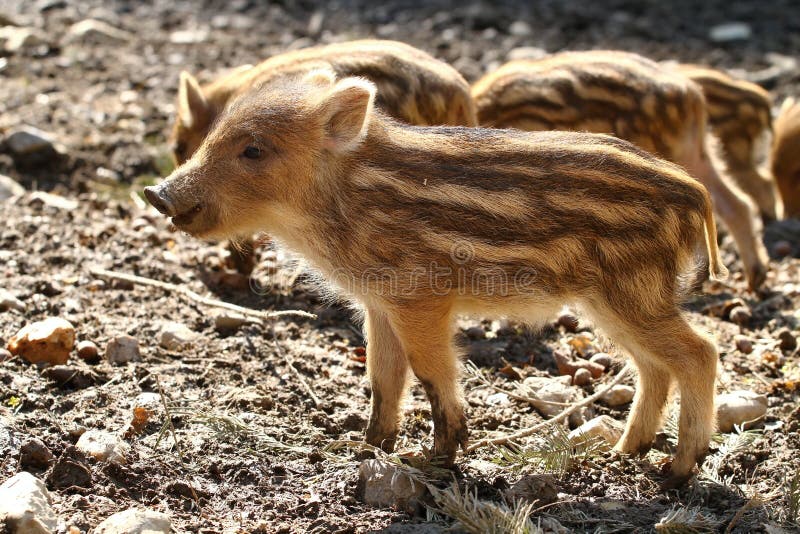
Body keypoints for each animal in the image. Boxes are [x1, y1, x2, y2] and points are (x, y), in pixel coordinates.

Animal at [145, 69, 725, 487]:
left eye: (254, 149)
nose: (157, 193)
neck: (343, 202)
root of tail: (691, 192)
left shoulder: (420, 297)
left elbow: (430, 372)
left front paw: (433, 461)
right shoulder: (379, 304)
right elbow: (382, 377)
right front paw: (365, 449)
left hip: (632, 290)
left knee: (698, 353)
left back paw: (676, 472)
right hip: (617, 299)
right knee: (654, 366)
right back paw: (623, 452)